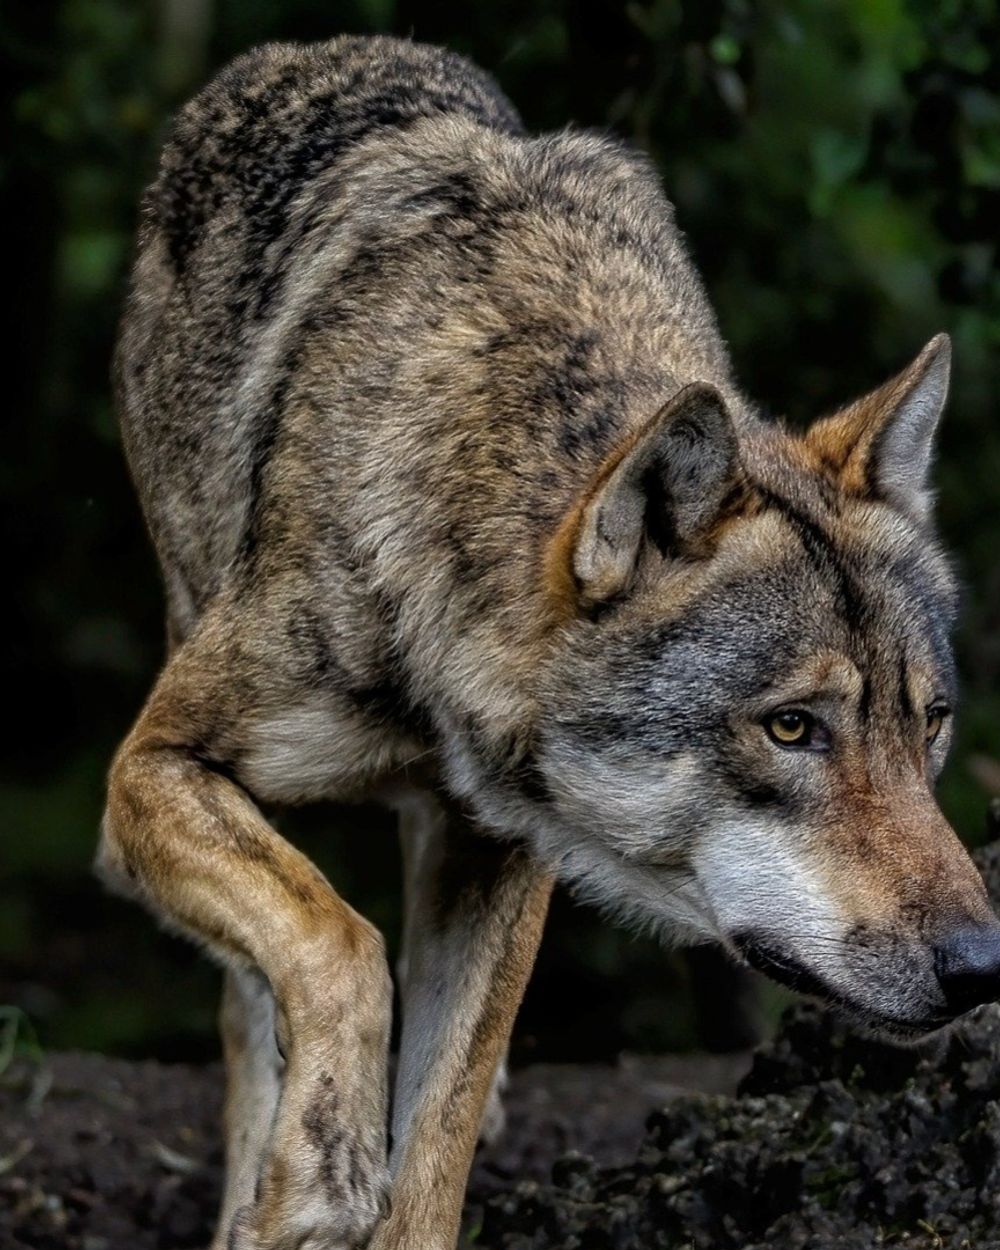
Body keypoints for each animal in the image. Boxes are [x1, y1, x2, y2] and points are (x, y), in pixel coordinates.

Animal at [98, 33, 1000, 1250]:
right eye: (791, 728)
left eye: (930, 722)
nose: (983, 967)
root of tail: (301, 51)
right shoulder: (149, 768)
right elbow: (336, 941)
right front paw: (320, 1170)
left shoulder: (504, 853)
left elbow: (437, 1135)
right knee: (255, 1001)